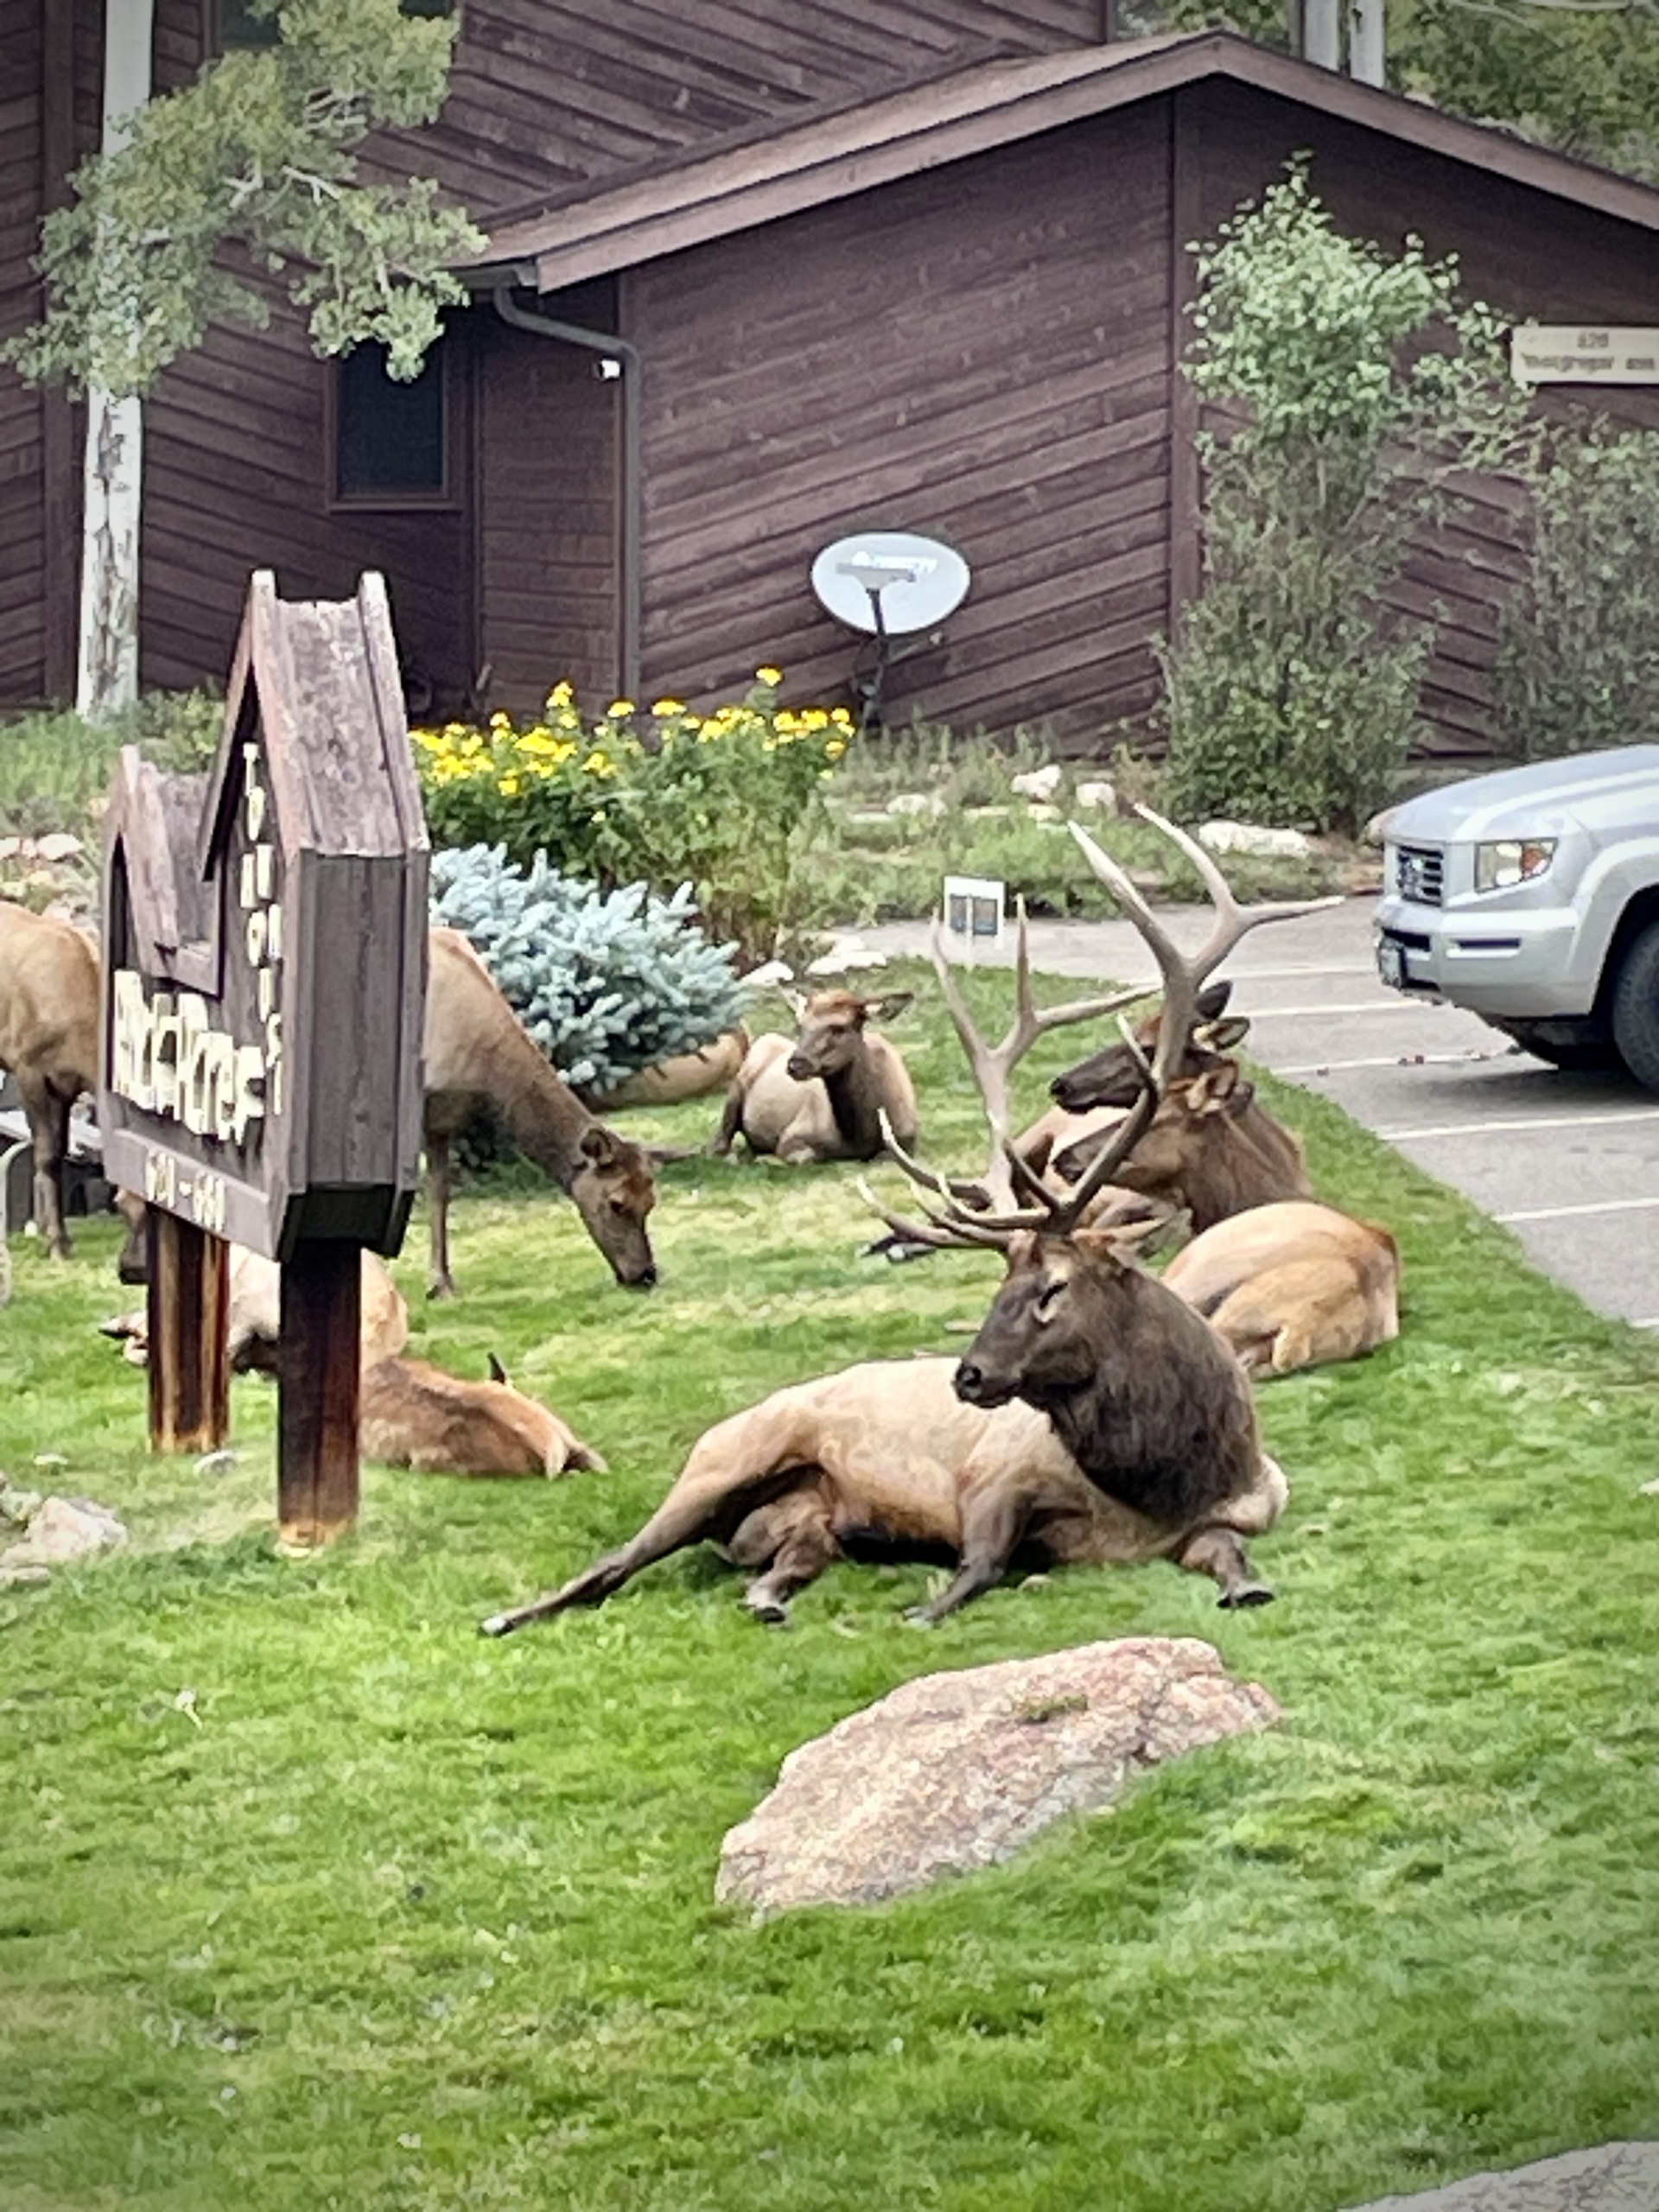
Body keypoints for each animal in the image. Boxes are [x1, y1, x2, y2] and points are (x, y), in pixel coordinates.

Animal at [0, 900, 100, 1261]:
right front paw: (56, 1243)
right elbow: (44, 1152)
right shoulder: (28, 1068)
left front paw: (55, 1234)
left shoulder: (66, 1086)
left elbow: (58, 1152)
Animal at [710, 988, 920, 1164]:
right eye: (800, 1026)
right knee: (719, 1144)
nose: (795, 1064)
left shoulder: (907, 1141)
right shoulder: (793, 1135)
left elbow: (884, 1157)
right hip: (736, 1088)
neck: (858, 1136)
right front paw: (766, 1158)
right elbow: (800, 1157)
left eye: (839, 1028)